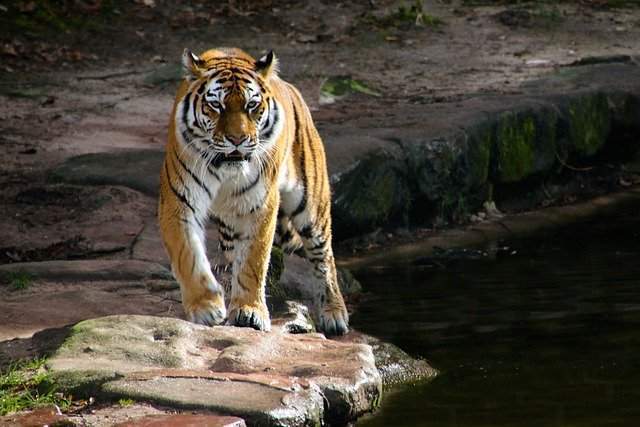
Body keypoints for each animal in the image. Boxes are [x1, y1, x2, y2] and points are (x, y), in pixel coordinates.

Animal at [158, 47, 349, 336]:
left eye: (251, 105)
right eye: (216, 105)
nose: (237, 140)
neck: (224, 168)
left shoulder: (259, 205)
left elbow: (253, 261)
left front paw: (249, 312)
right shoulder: (178, 202)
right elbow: (187, 255)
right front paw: (206, 306)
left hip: (311, 206)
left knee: (323, 257)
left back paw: (334, 313)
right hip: (229, 224)